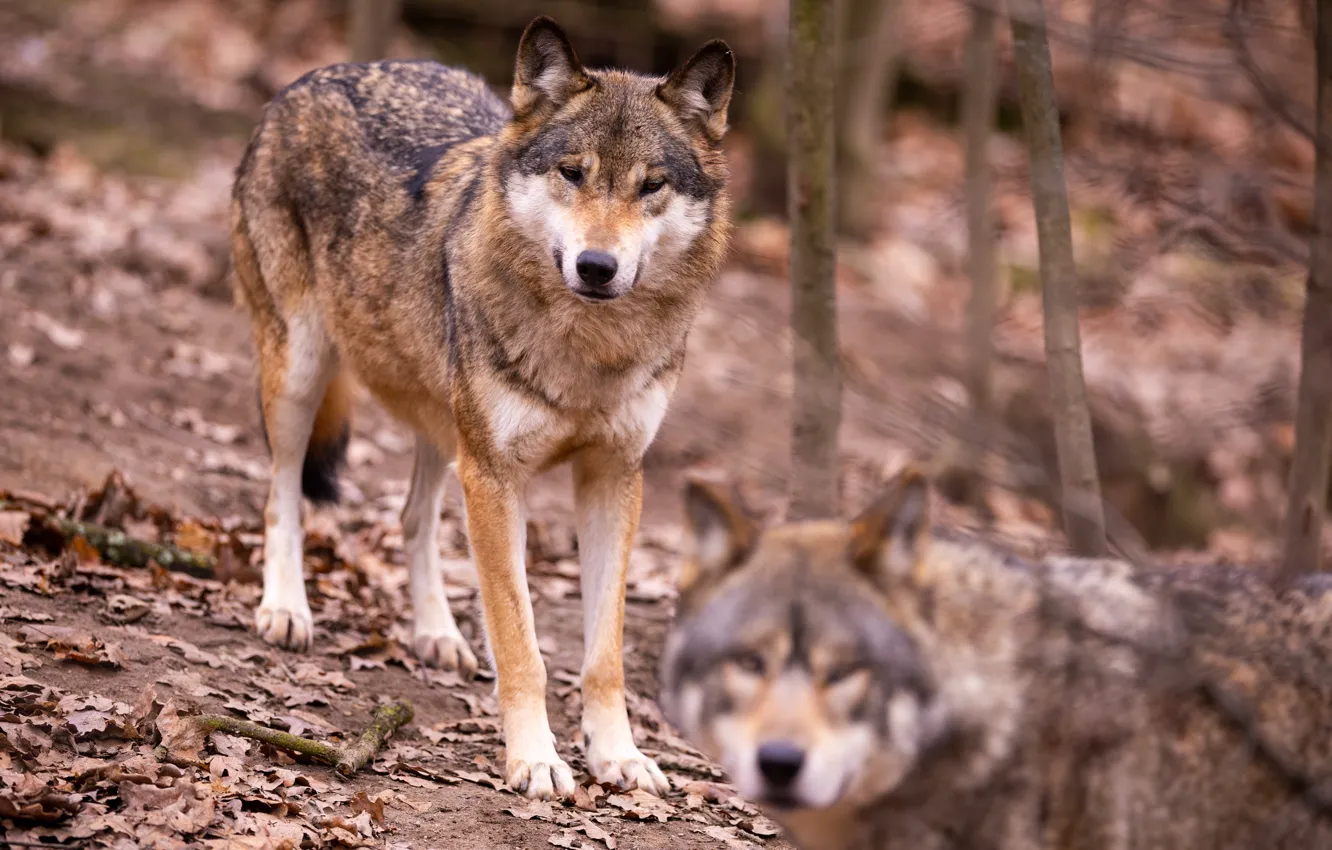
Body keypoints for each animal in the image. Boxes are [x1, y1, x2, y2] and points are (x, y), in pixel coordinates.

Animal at [230, 16, 734, 800]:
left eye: (651, 185)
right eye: (572, 173)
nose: (597, 266)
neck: (589, 352)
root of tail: (312, 76)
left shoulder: (615, 478)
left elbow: (605, 654)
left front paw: (618, 756)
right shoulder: (497, 479)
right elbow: (521, 641)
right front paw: (535, 759)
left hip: (445, 425)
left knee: (412, 518)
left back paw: (437, 635)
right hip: (301, 373)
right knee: (281, 492)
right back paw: (285, 608)